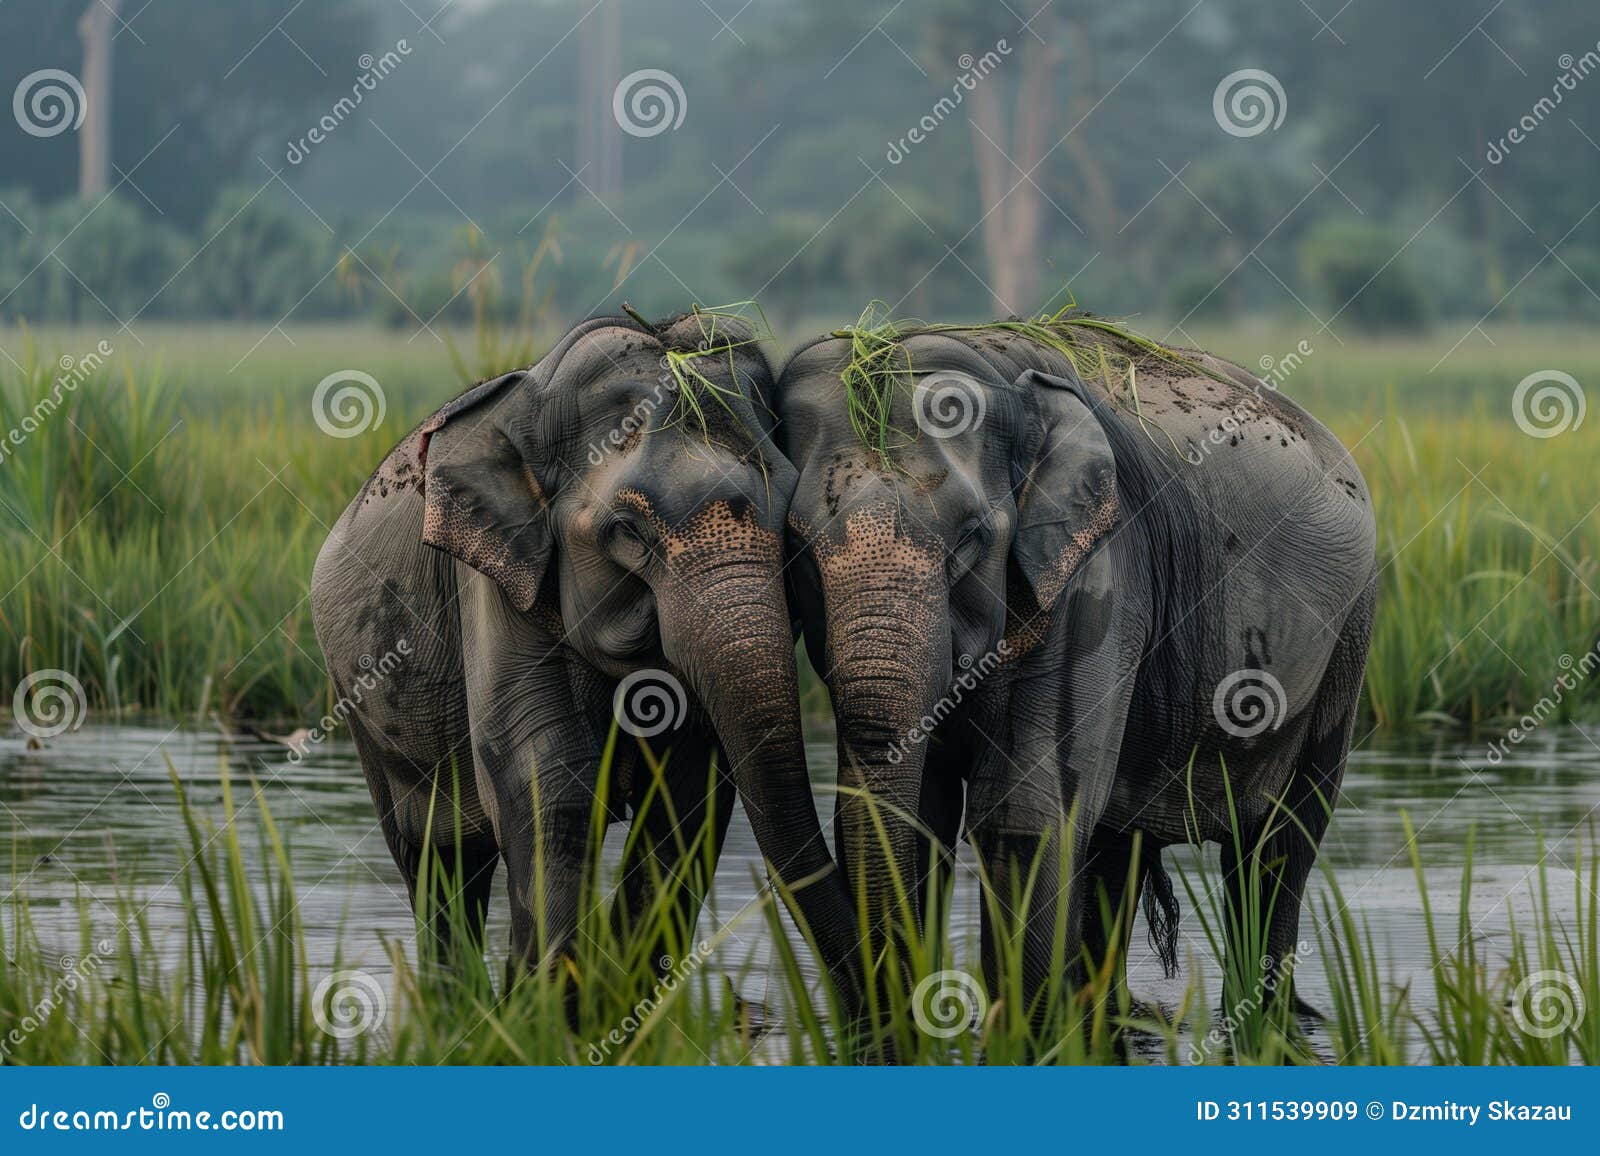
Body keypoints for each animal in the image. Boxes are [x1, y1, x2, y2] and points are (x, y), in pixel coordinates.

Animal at [310, 312, 860, 1001]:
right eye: (625, 531)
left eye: (790, 525)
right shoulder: (495, 574)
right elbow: (546, 776)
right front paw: (541, 1010)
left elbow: (687, 797)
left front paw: (618, 1006)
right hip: (358, 705)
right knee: (431, 861)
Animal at [776, 319, 1377, 1021]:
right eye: (797, 546)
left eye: (972, 538)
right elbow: (920, 815)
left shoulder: (1100, 570)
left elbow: (1025, 814)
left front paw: (1026, 1031)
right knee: (1117, 844)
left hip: (1351, 633)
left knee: (1278, 847)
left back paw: (1270, 1019)